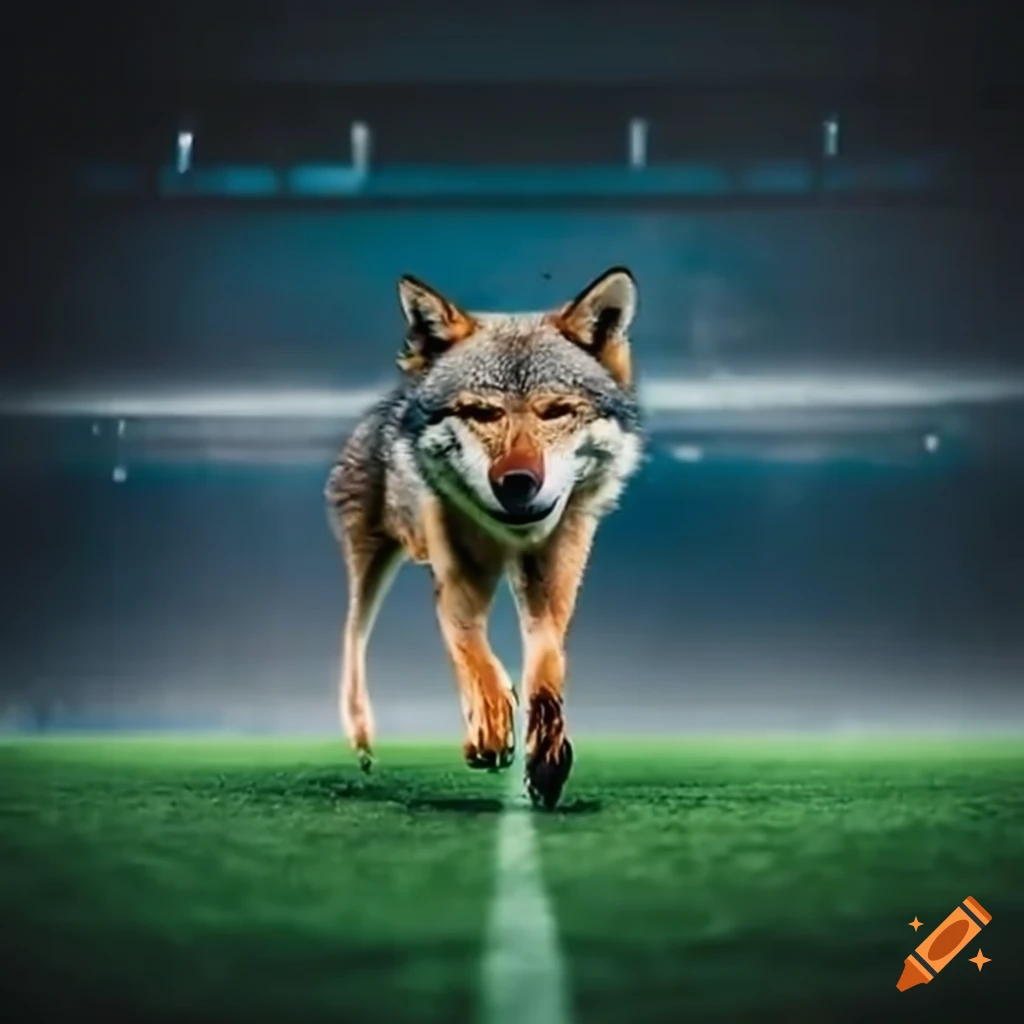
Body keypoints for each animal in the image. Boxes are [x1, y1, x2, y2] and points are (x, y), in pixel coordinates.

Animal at [325, 267, 643, 808]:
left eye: (555, 411)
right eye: (482, 412)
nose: (516, 482)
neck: (508, 535)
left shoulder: (555, 569)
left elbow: (547, 661)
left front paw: (547, 758)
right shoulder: (459, 578)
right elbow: (474, 654)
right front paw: (490, 730)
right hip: (369, 567)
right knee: (352, 640)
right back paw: (363, 742)